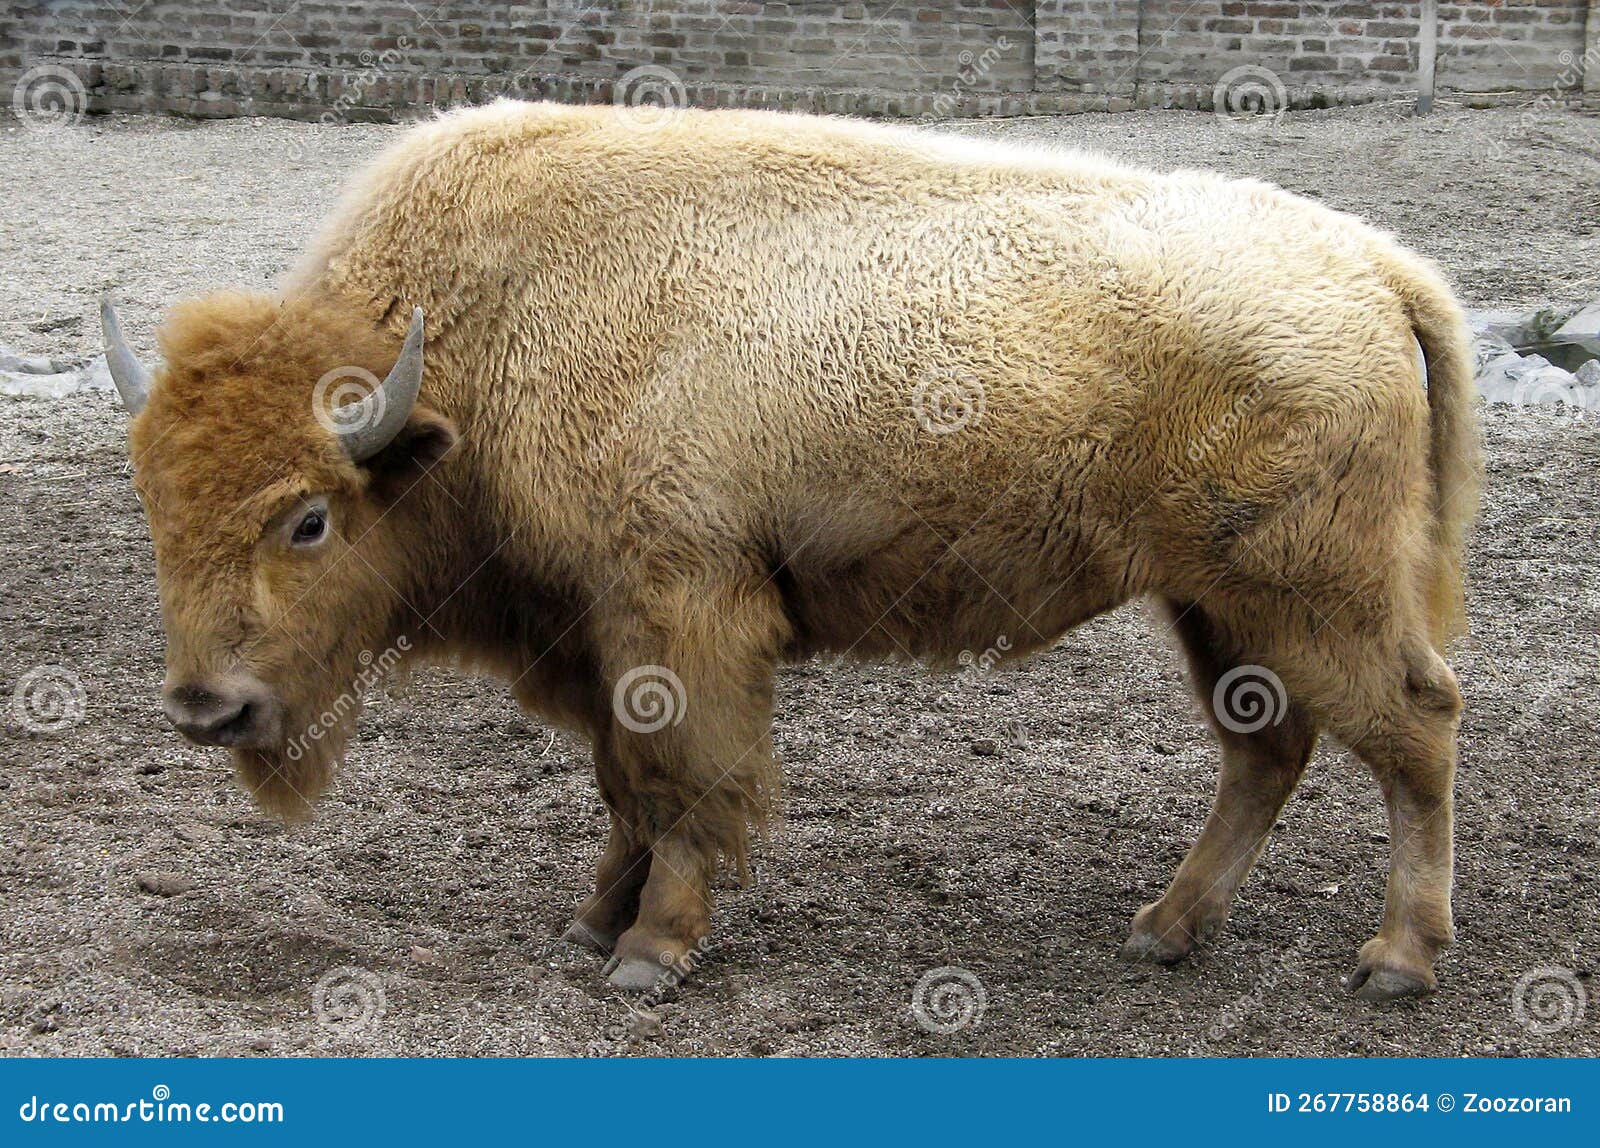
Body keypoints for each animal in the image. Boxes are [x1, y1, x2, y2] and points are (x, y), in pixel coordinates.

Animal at [102, 100, 1478, 1000]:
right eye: (154, 500)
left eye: (309, 516)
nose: (209, 708)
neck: (477, 338)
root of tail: (1370, 261)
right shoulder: (600, 629)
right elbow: (623, 780)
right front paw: (592, 919)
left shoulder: (679, 612)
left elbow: (682, 778)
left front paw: (649, 951)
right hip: (1213, 603)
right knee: (1270, 747)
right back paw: (1165, 927)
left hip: (1310, 592)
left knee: (1413, 723)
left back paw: (1397, 959)